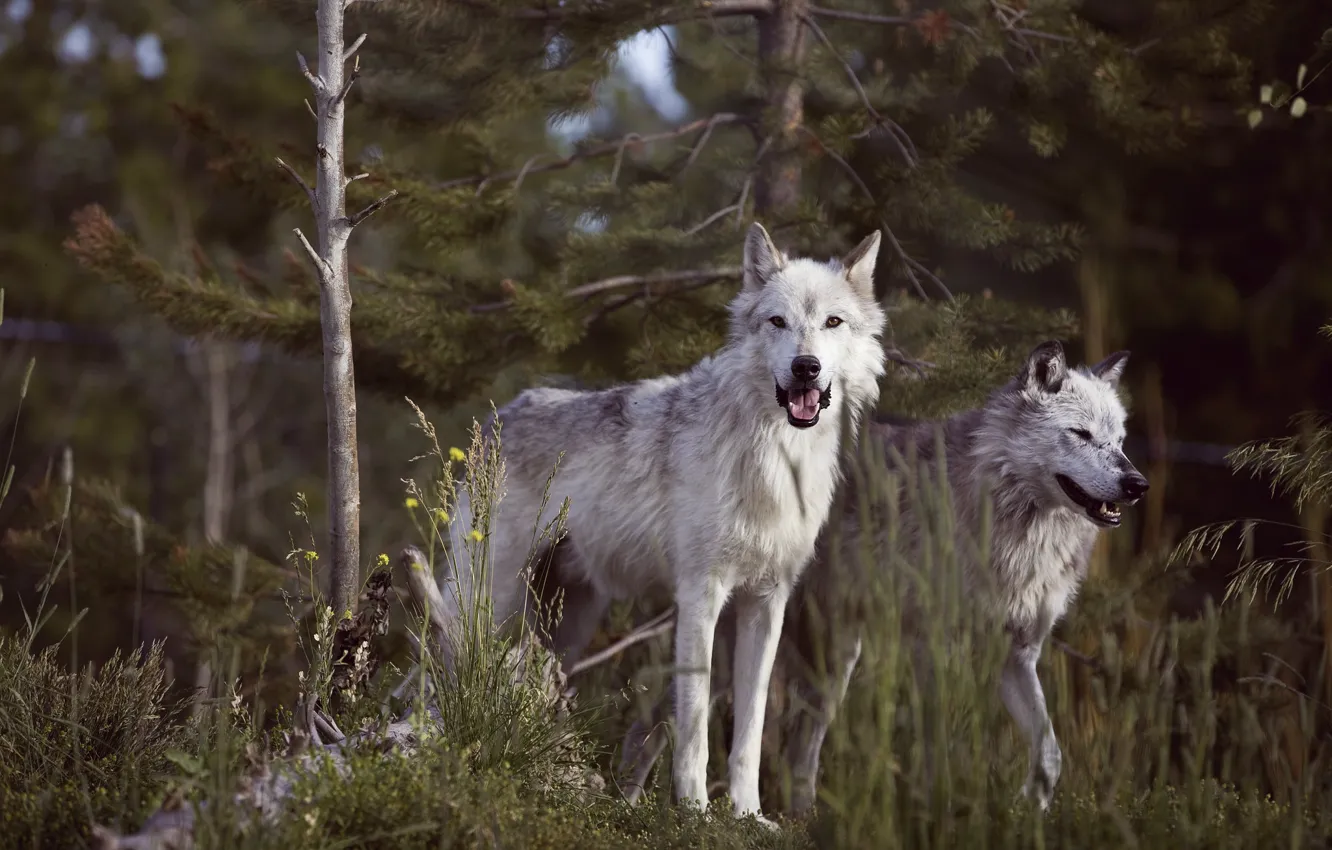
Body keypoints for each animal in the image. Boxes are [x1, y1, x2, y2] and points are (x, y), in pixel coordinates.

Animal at [441, 222, 889, 822]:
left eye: (832, 323)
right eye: (778, 322)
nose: (805, 367)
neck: (774, 459)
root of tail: (500, 416)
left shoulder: (766, 601)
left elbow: (750, 727)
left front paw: (749, 815)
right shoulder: (701, 594)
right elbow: (695, 719)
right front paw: (694, 808)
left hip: (567, 623)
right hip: (491, 600)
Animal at [616, 340, 1148, 815]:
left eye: (1120, 441)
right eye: (1080, 434)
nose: (1137, 484)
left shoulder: (1015, 656)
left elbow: (1050, 754)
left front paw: (1030, 811)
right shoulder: (931, 649)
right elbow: (936, 749)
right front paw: (937, 815)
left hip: (832, 666)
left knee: (798, 753)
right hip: (745, 655)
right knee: (650, 720)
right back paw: (630, 806)